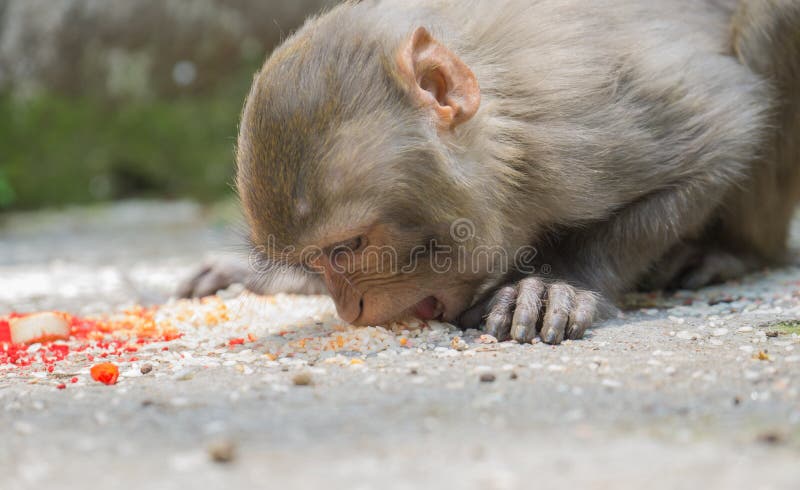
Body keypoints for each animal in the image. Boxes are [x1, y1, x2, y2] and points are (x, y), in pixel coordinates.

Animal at [179, 0, 800, 345]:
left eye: (348, 248)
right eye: (314, 260)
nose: (347, 311)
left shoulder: (583, 136)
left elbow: (728, 128)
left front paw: (556, 283)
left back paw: (733, 252)